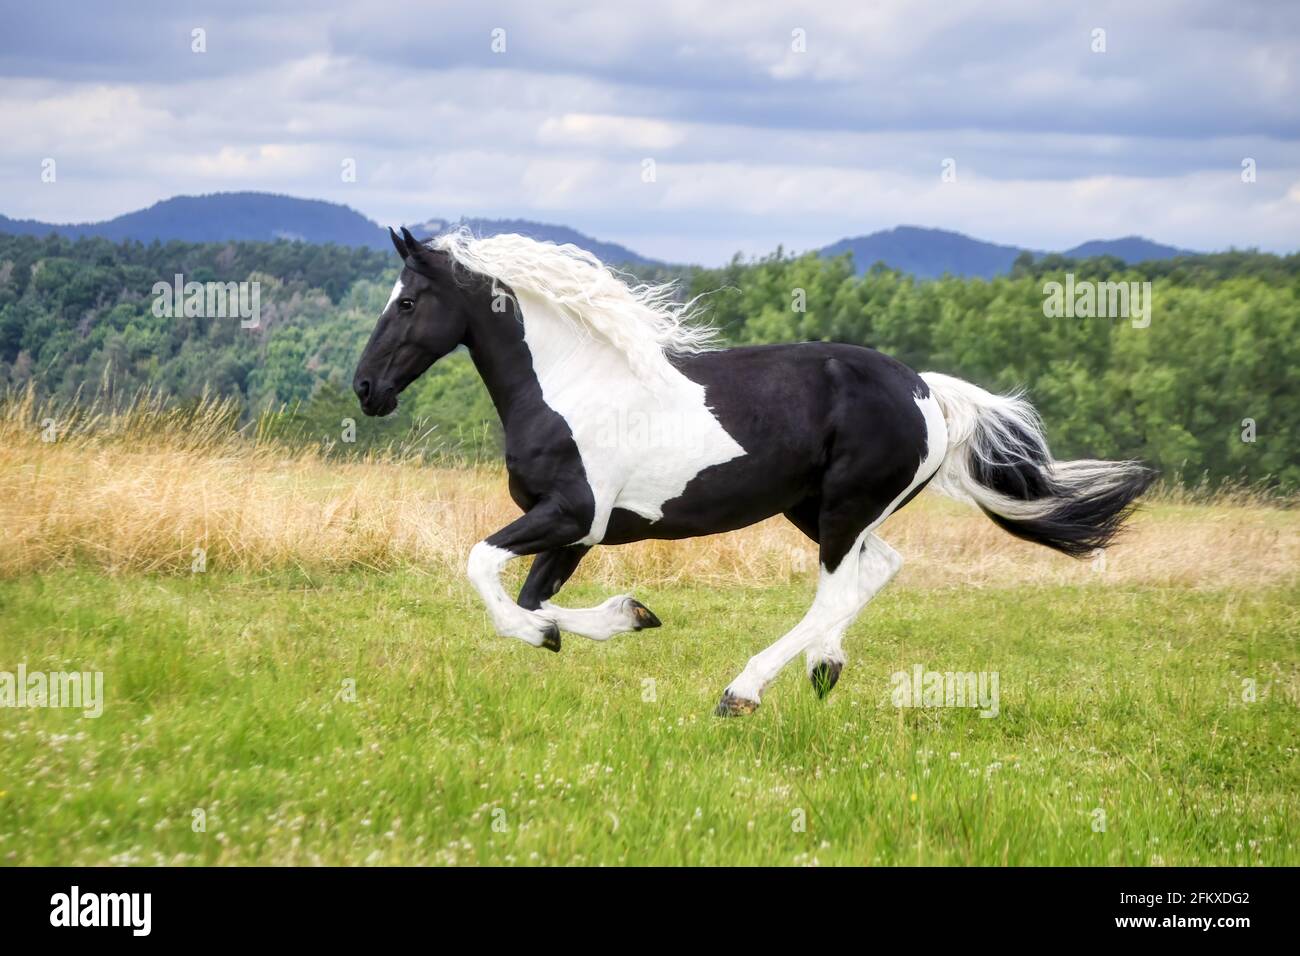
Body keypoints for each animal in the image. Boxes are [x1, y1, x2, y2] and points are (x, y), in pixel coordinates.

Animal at [353, 226, 1156, 716]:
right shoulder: (579, 534)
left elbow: (483, 567)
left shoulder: (572, 514)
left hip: (841, 510)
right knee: (879, 569)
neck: (571, 385)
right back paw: (823, 669)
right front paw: (622, 617)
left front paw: (551, 633)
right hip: (820, 508)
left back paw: (744, 691)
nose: (366, 389)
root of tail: (928, 391)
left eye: (409, 301)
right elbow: (533, 594)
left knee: (837, 592)